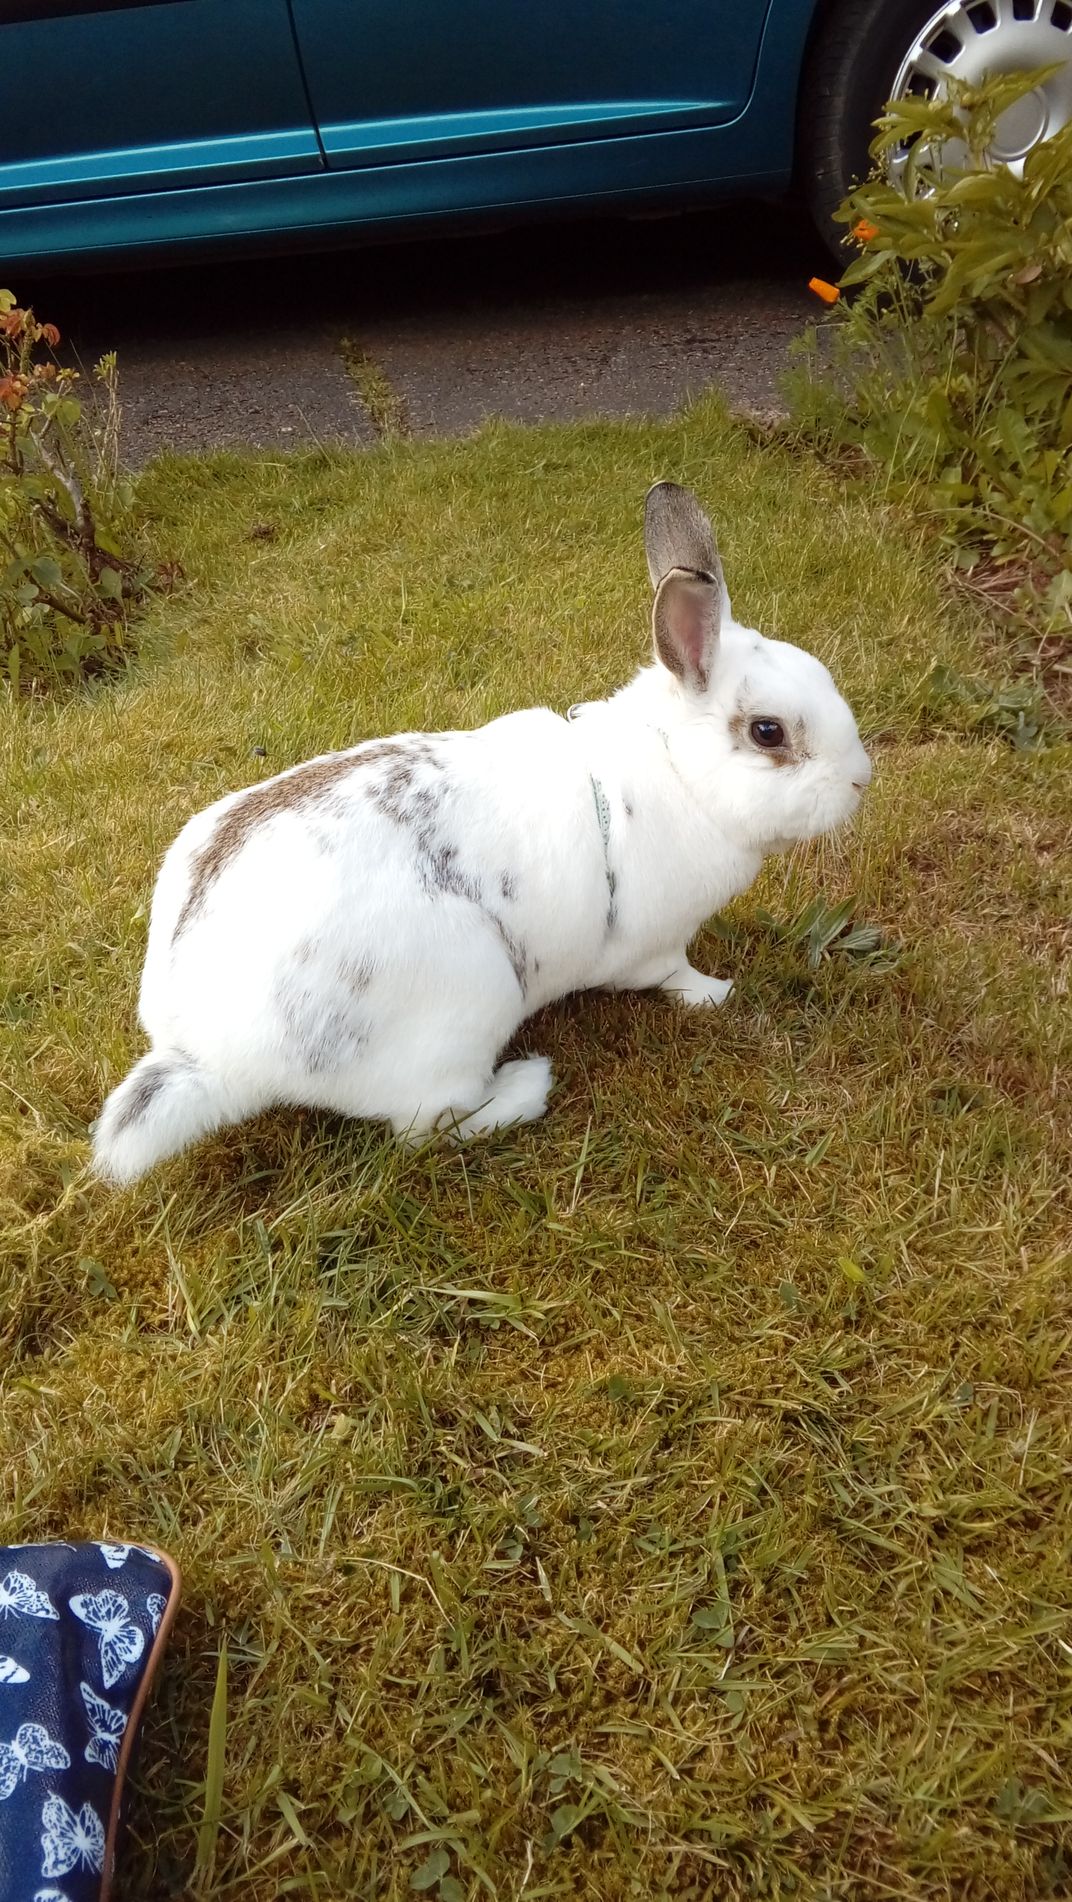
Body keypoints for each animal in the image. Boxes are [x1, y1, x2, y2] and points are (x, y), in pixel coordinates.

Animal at [92, 481, 872, 1185]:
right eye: (768, 733)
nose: (862, 779)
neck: (678, 770)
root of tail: (203, 1052)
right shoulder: (656, 944)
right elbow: (674, 975)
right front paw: (718, 992)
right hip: (466, 1011)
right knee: (429, 1128)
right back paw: (527, 1086)